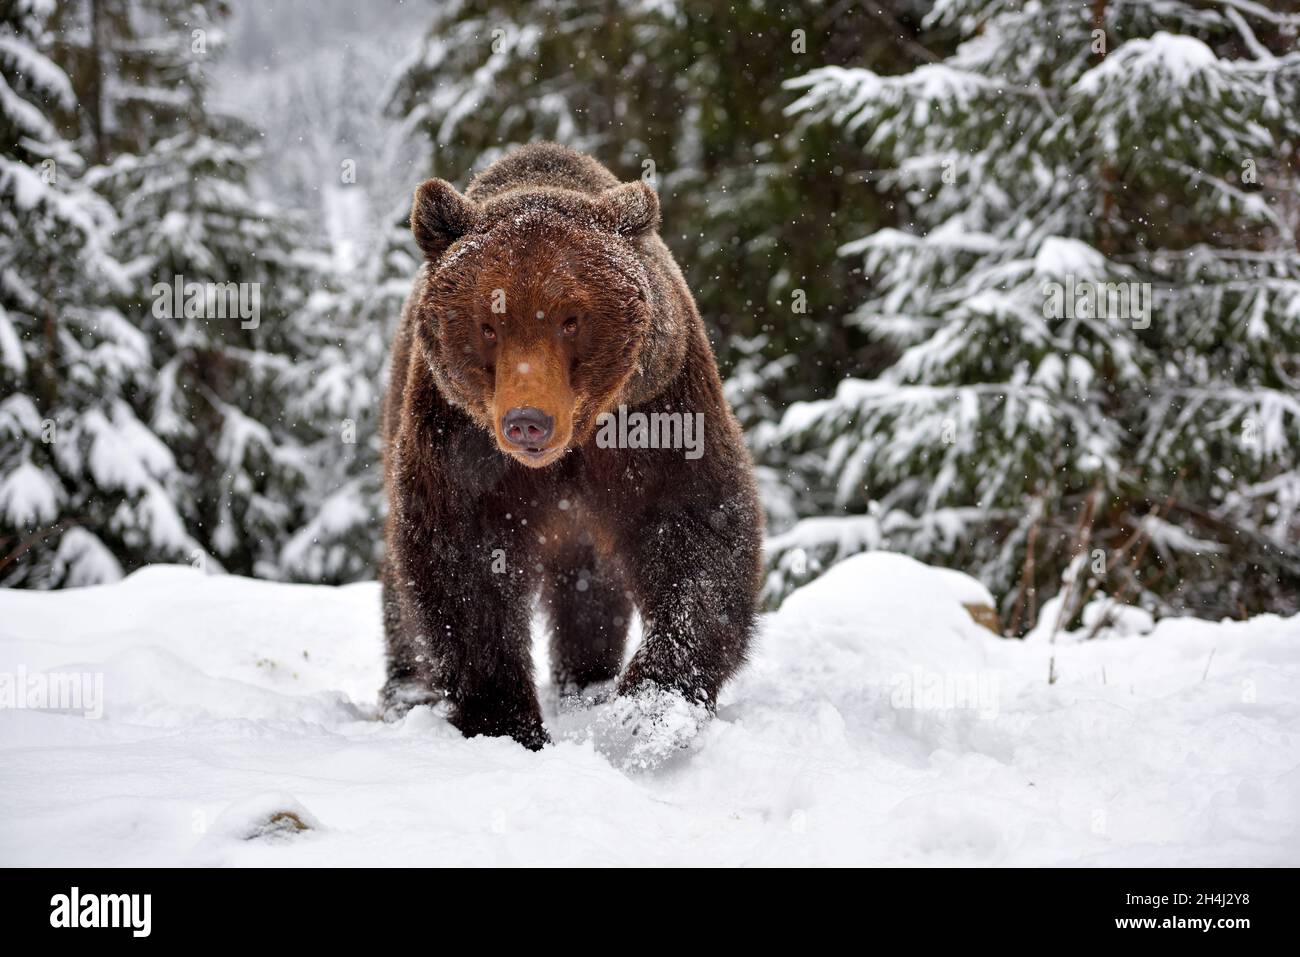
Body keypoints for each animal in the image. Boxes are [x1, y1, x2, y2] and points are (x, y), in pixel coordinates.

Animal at [380, 142, 763, 754]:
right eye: (489, 324)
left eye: (570, 319)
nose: (527, 422)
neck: (572, 449)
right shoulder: (458, 442)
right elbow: (460, 562)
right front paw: (508, 723)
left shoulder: (656, 412)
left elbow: (699, 531)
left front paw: (649, 708)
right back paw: (407, 690)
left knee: (590, 586)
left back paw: (589, 682)